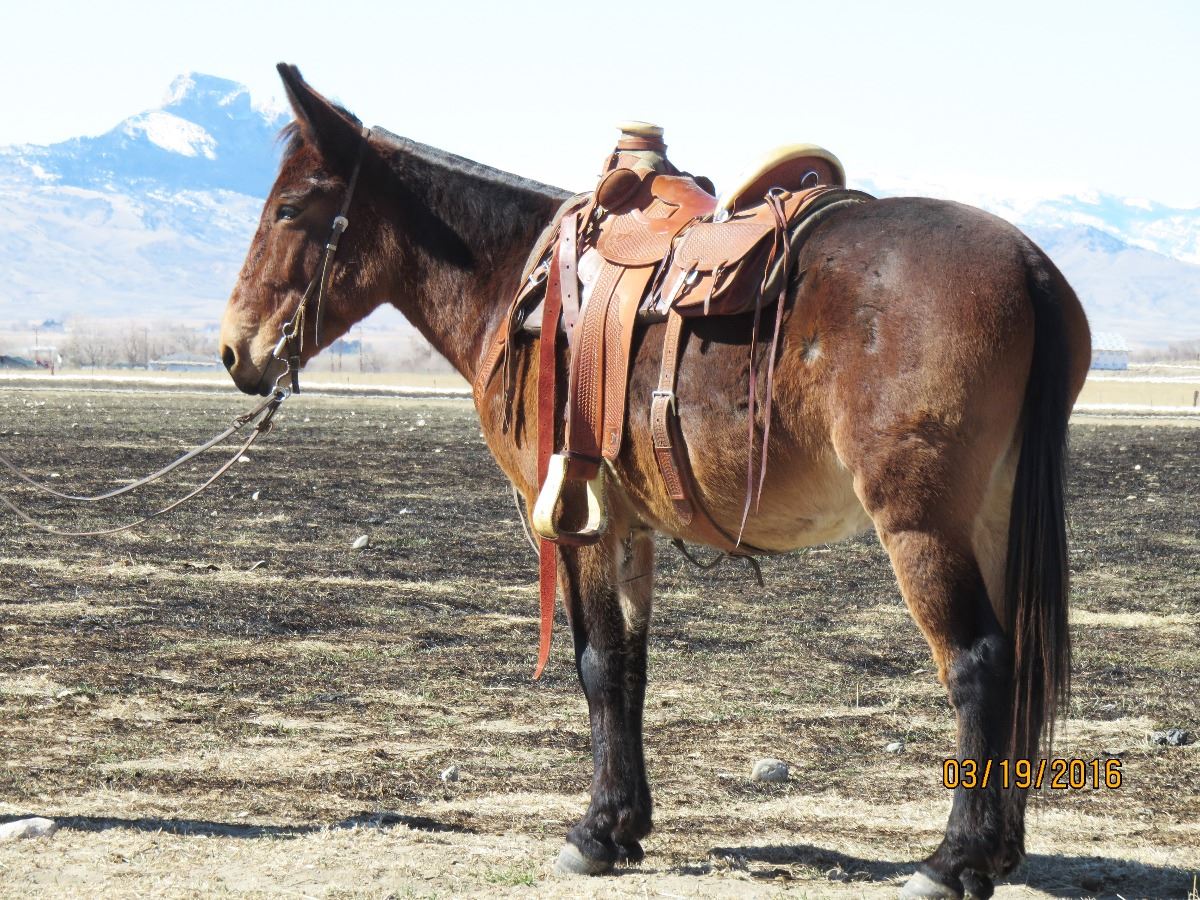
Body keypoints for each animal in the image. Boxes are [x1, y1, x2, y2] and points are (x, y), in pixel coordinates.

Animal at [219, 64, 1091, 899]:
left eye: (290, 208)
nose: (234, 350)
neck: (516, 285)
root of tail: (1028, 265)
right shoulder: (629, 525)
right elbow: (631, 667)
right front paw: (625, 823)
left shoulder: (576, 518)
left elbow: (596, 665)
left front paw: (594, 834)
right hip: (992, 518)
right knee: (1018, 664)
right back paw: (998, 850)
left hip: (923, 525)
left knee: (980, 664)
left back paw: (953, 860)